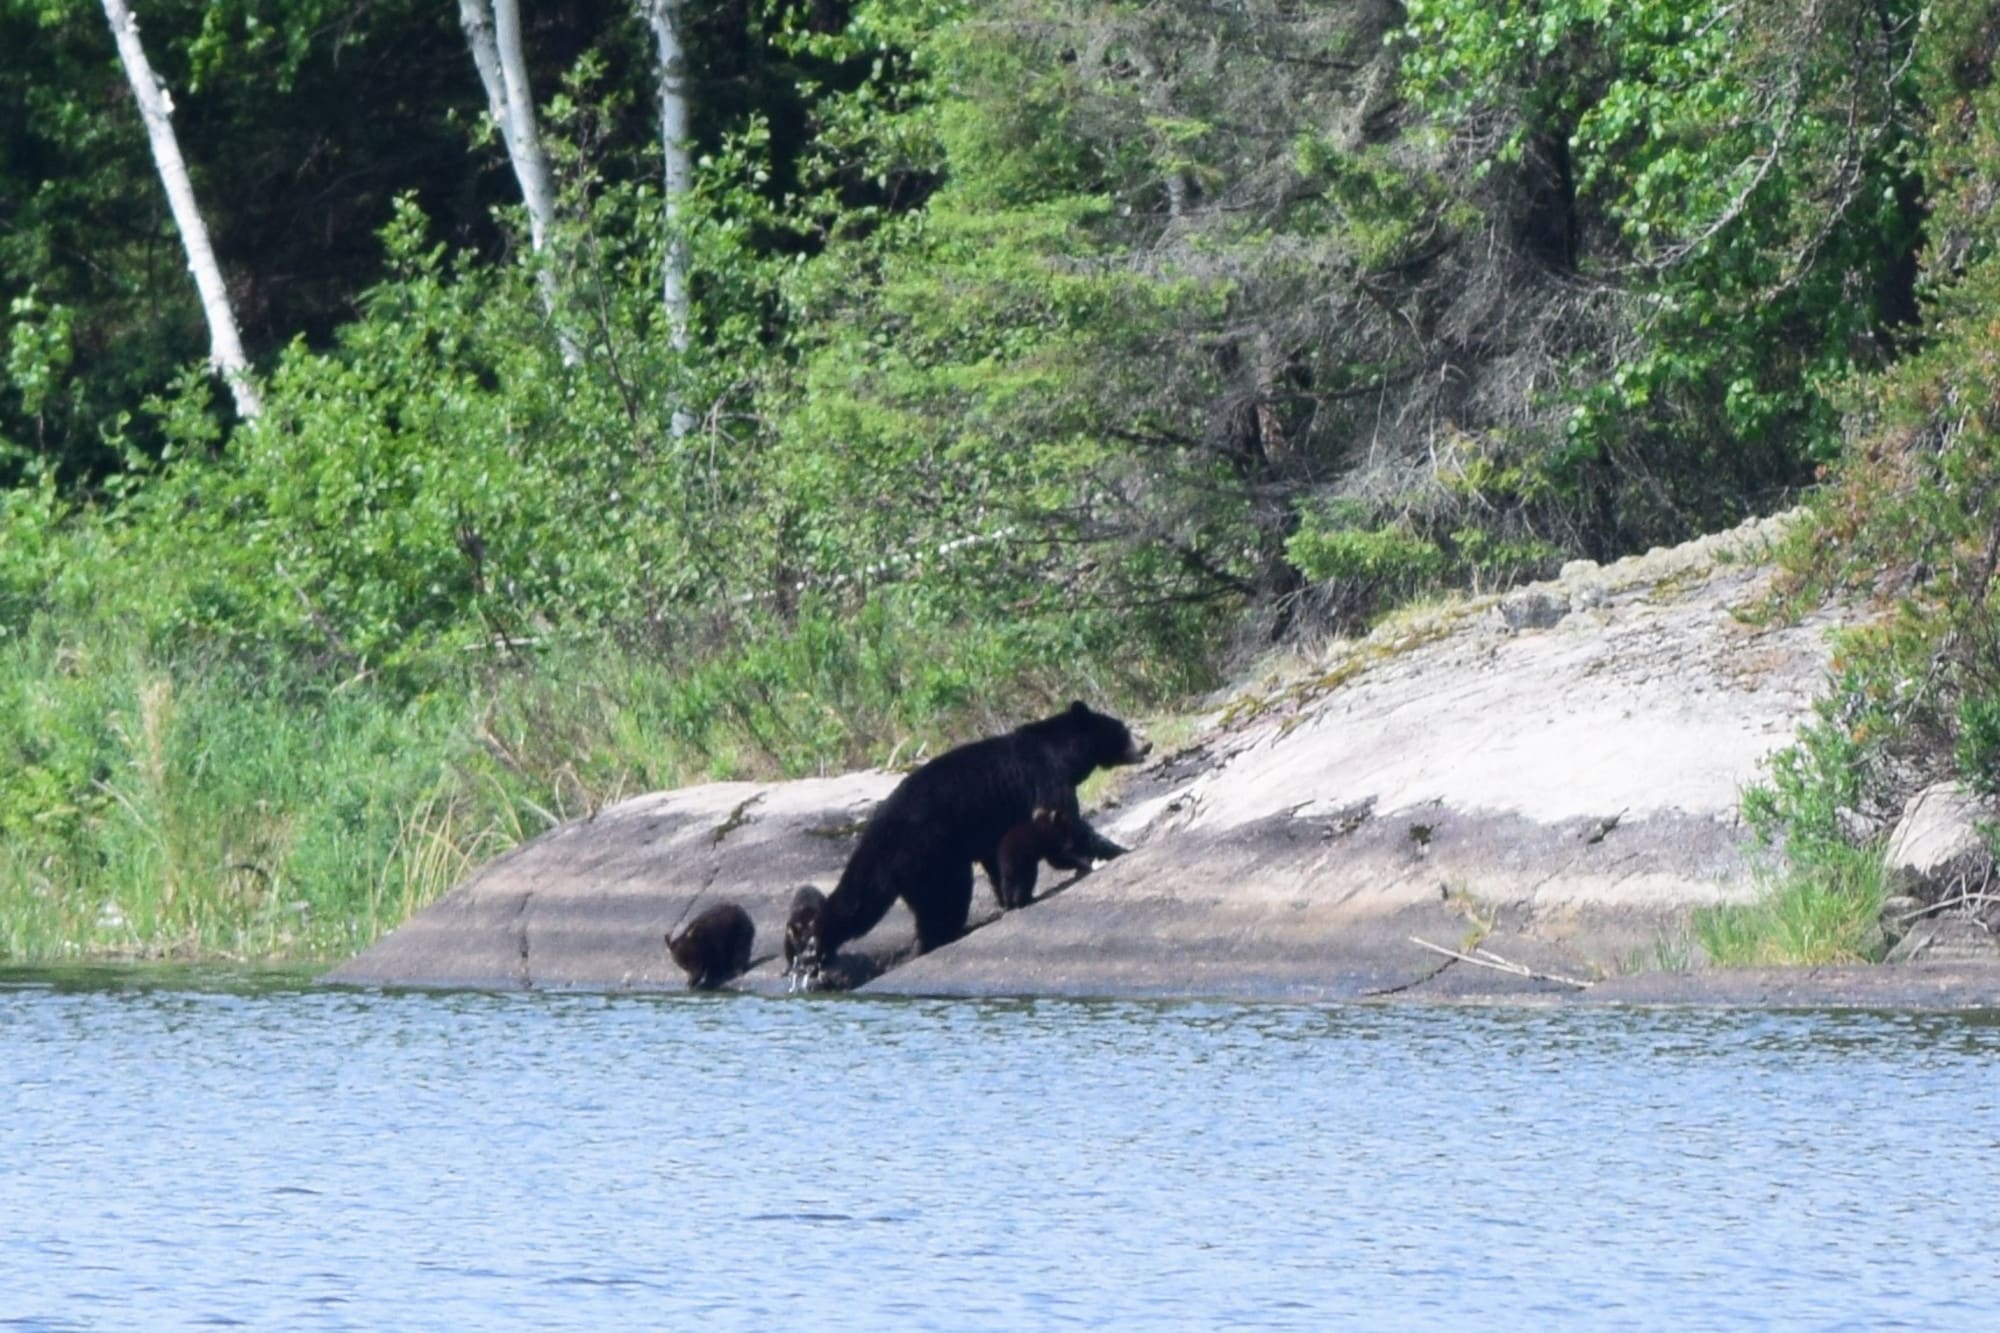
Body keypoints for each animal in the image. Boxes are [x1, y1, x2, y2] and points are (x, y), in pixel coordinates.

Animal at [785, 700, 1147, 987]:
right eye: (1123, 729)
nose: (1148, 745)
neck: (1062, 752)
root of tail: (880, 830)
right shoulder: (1046, 778)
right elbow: (1068, 824)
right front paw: (1114, 850)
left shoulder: (995, 824)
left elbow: (1001, 855)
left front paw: (1008, 894)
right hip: (931, 853)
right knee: (946, 896)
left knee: (863, 900)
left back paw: (814, 943)